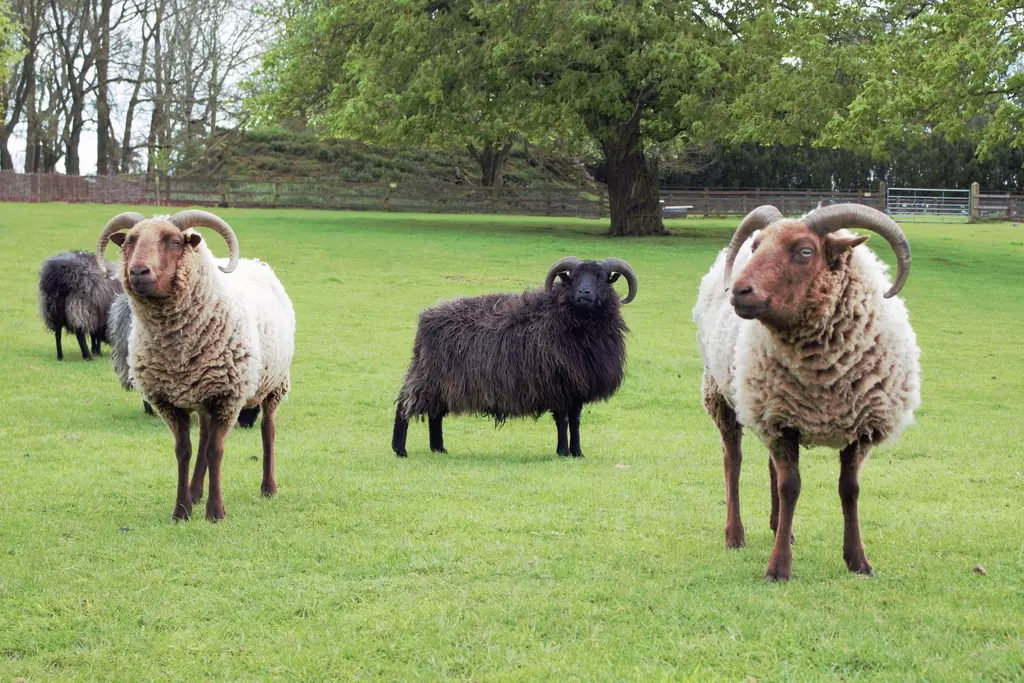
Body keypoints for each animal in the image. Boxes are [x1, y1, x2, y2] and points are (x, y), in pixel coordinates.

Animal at [391, 256, 637, 458]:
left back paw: (438, 448)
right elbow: (563, 421)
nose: (584, 293)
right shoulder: (558, 384)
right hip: (429, 376)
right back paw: (400, 449)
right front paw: (563, 452)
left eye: (602, 278)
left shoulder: (576, 388)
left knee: (435, 414)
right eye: (573, 278)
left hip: (445, 383)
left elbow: (575, 422)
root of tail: (426, 317)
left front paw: (577, 452)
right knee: (404, 405)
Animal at [692, 203, 920, 582]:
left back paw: (778, 527)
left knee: (771, 466)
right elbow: (791, 488)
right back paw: (735, 535)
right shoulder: (782, 423)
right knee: (733, 462)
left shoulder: (857, 427)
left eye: (804, 251)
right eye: (756, 246)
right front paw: (778, 567)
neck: (824, 377)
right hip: (724, 396)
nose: (738, 291)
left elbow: (849, 490)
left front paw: (858, 561)